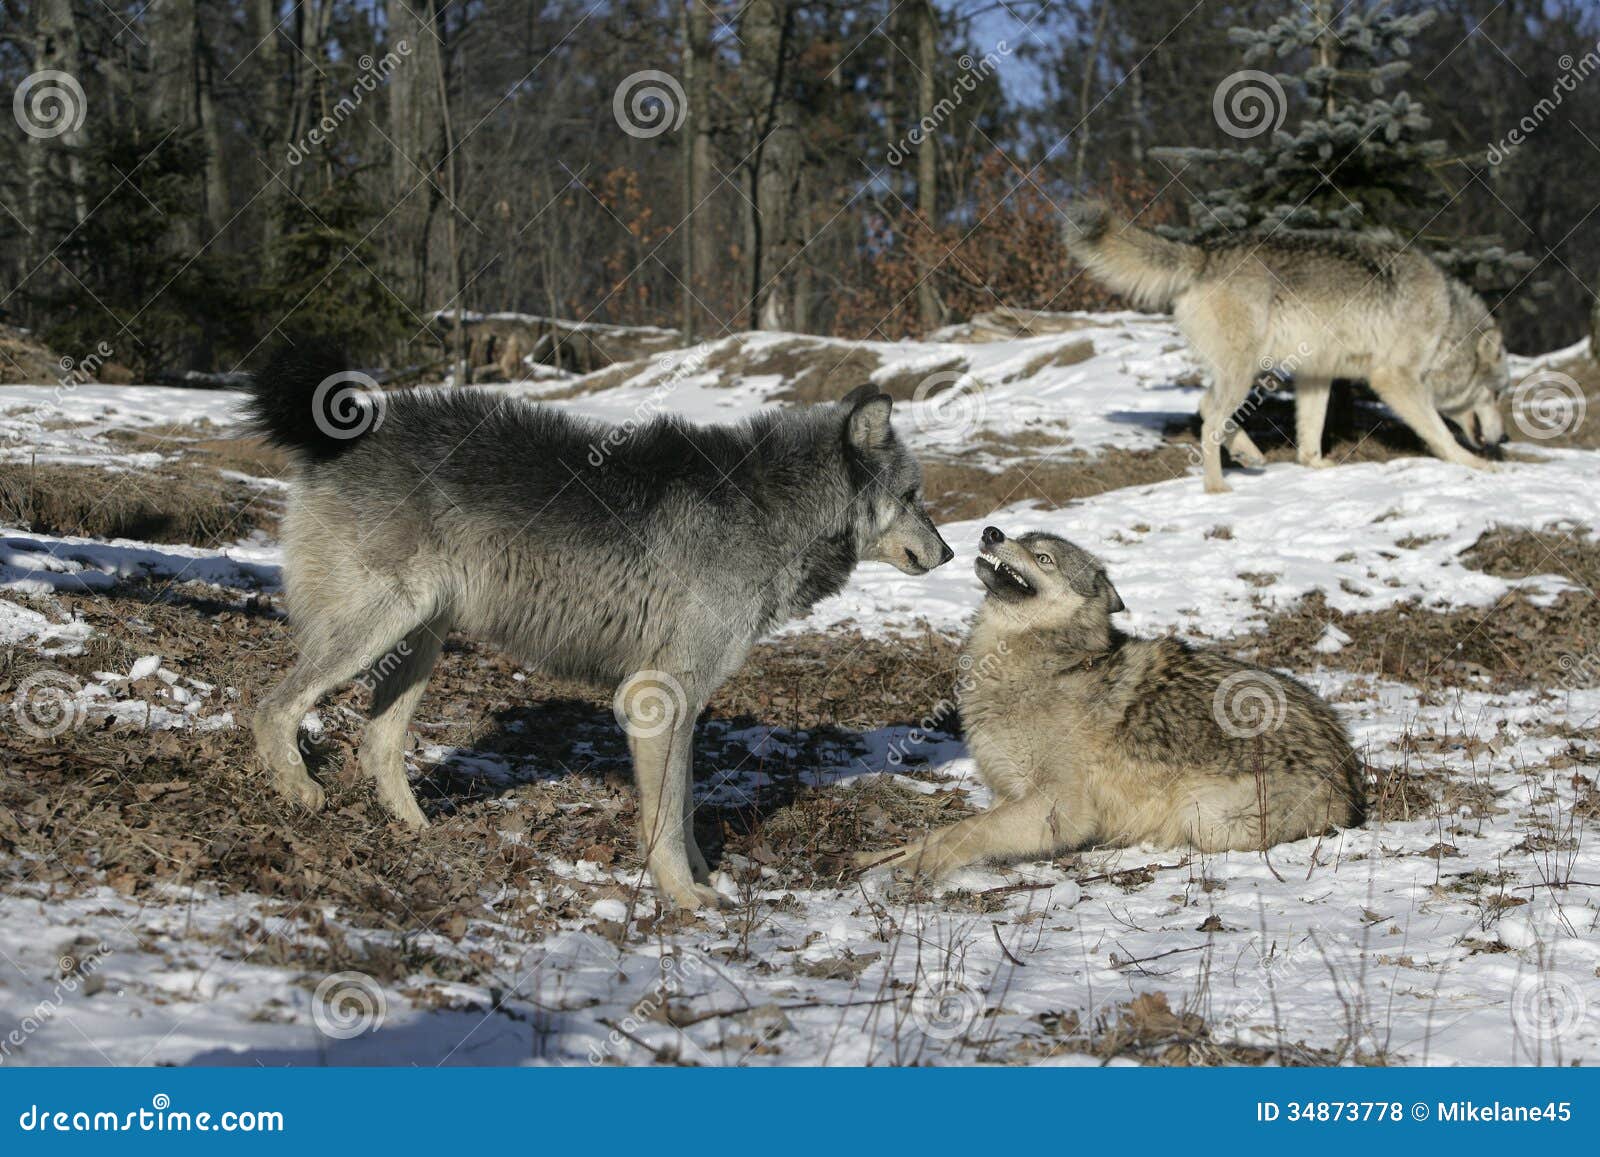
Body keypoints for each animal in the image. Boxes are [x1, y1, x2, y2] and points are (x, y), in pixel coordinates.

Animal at [245, 342, 952, 910]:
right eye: (913, 497)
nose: (949, 553)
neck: (768, 508)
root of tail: (349, 430)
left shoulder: (679, 706)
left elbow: (682, 811)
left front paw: (700, 880)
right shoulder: (656, 699)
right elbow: (666, 822)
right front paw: (684, 900)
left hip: (419, 644)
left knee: (376, 744)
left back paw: (419, 833)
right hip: (374, 632)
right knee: (271, 708)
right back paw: (301, 792)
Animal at [858, 526, 1365, 879]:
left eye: (1043, 557)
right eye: (1021, 538)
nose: (992, 532)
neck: (1043, 667)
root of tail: (1348, 770)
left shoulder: (1058, 806)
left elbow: (966, 831)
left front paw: (919, 868)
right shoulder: (1008, 792)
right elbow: (939, 830)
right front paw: (879, 857)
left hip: (1206, 814)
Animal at [1062, 204, 1510, 493]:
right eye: (1498, 393)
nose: (1505, 438)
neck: (1447, 323)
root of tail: (1205, 253)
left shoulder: (1317, 373)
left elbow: (1310, 432)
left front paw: (1315, 465)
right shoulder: (1394, 380)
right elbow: (1440, 433)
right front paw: (1475, 464)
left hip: (1243, 371)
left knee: (1206, 407)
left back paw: (1250, 456)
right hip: (1247, 371)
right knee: (1209, 421)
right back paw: (1217, 487)